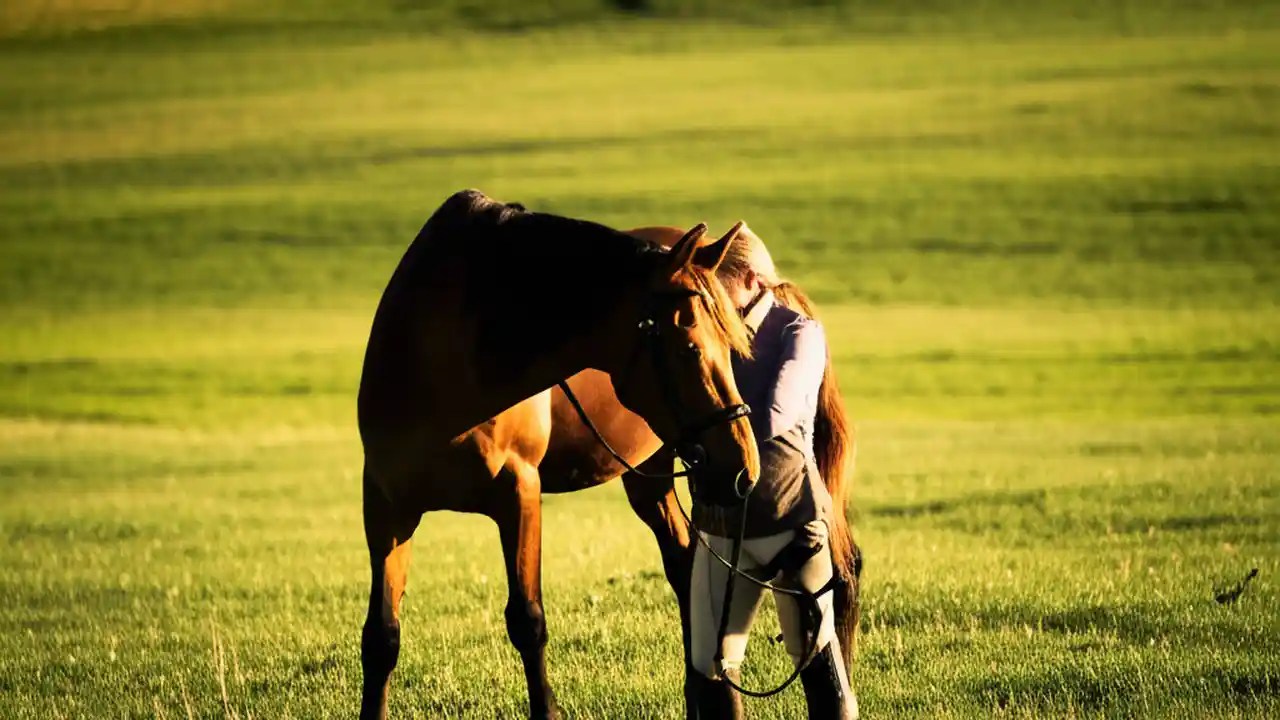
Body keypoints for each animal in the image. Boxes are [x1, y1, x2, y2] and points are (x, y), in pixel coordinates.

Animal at [356, 190, 761, 720]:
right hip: (650, 477)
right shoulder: (387, 507)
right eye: (690, 349)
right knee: (683, 562)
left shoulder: (519, 494)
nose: (744, 469)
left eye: (734, 348)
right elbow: (381, 638)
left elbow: (527, 622)